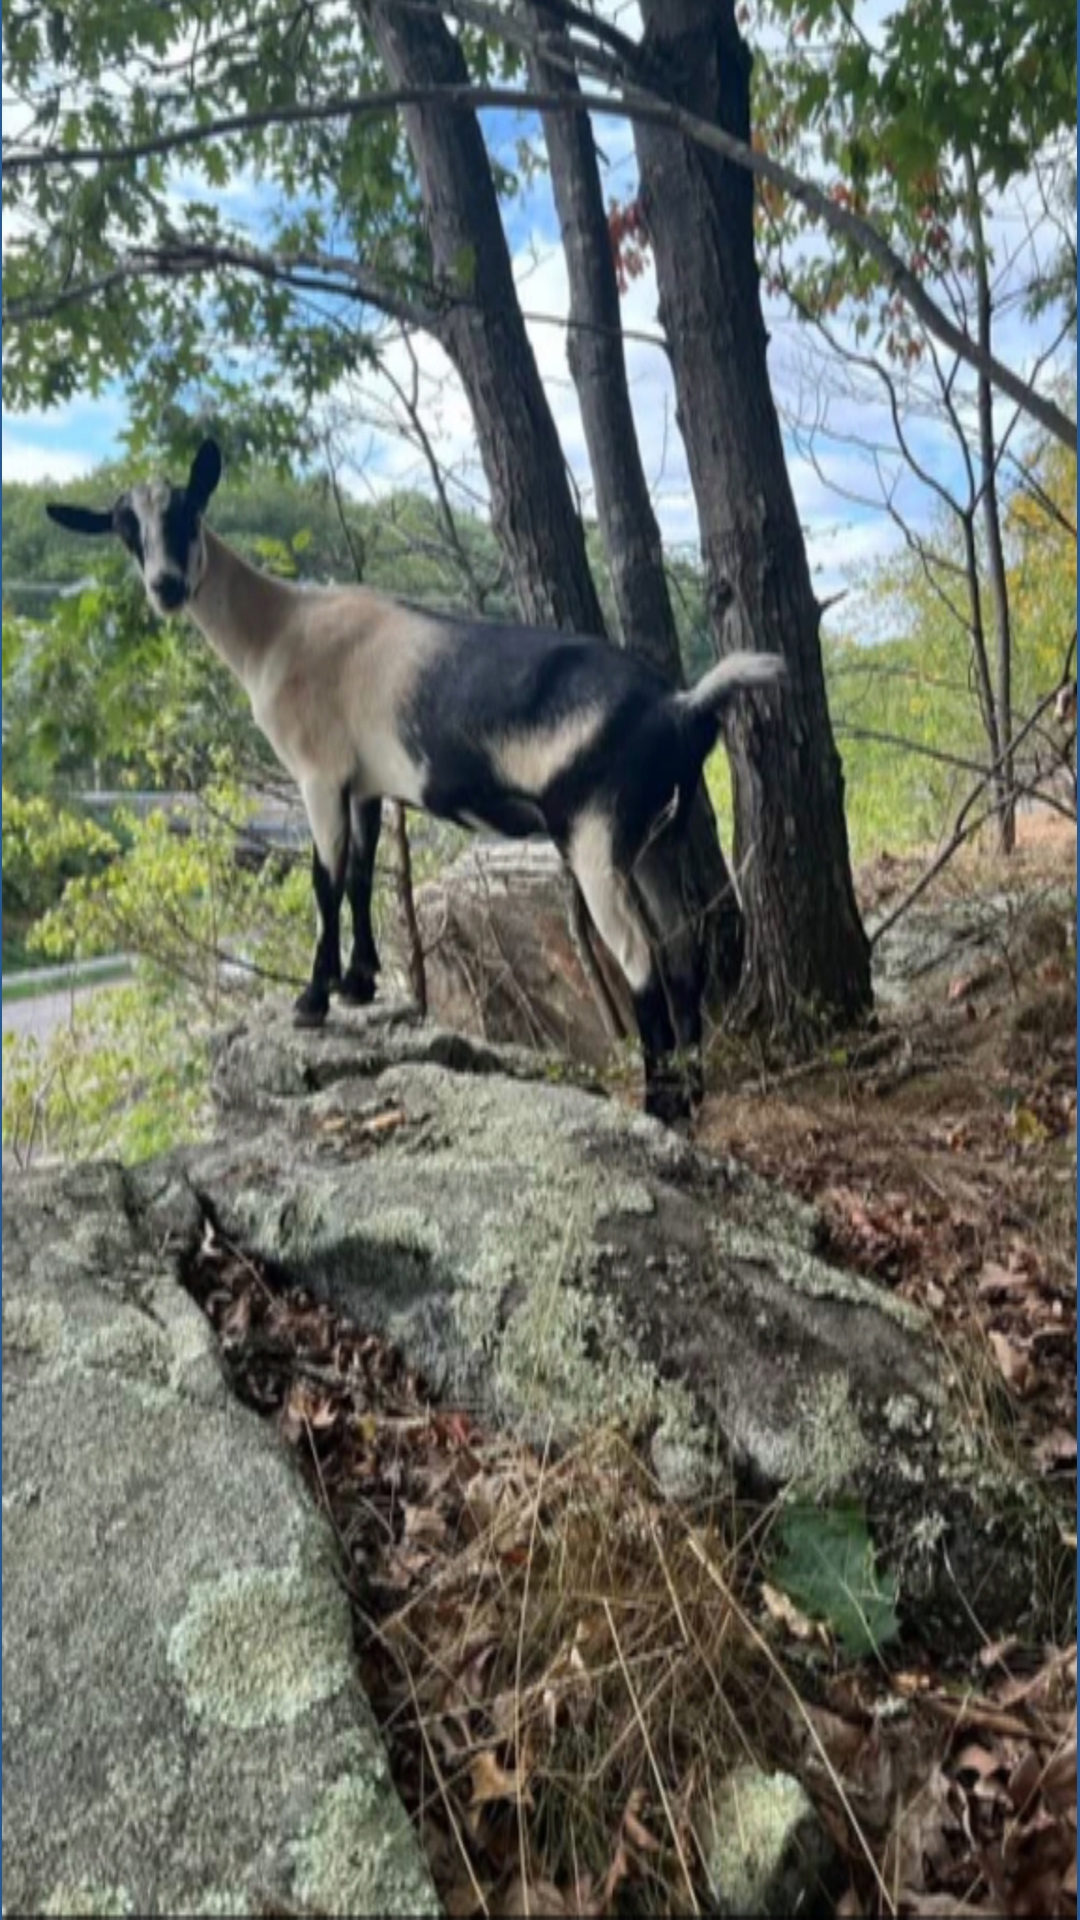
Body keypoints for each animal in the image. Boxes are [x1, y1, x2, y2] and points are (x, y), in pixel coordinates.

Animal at [47, 440, 785, 1122]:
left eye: (188, 511)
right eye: (124, 527)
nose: (167, 586)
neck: (280, 631)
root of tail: (682, 707)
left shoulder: (318, 774)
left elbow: (324, 876)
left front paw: (313, 1000)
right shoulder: (366, 782)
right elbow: (360, 871)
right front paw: (360, 983)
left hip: (595, 836)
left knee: (641, 963)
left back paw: (659, 1108)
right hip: (657, 839)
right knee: (684, 953)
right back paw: (692, 1097)